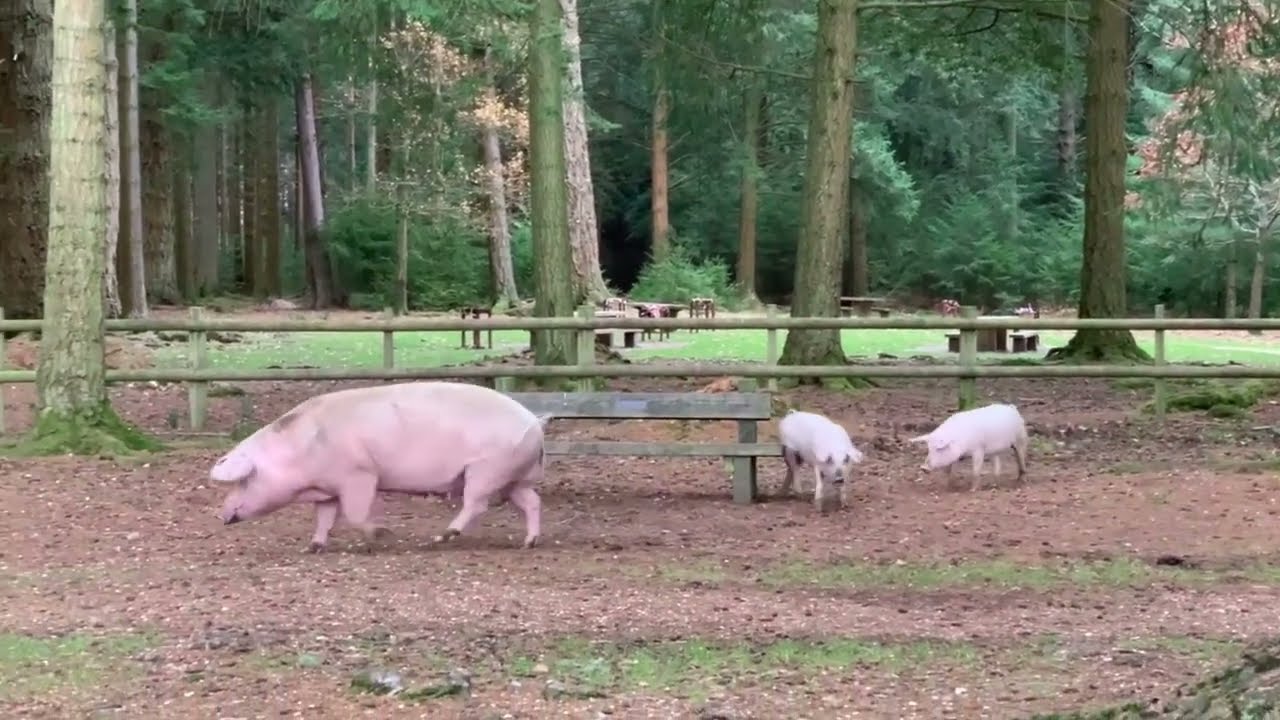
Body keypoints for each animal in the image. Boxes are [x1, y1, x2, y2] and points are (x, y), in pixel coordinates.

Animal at [209, 381, 551, 553]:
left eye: (244, 480)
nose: (222, 516)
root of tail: (535, 422)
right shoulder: (328, 489)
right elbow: (325, 518)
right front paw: (313, 547)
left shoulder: (359, 474)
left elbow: (355, 513)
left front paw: (384, 535)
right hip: (513, 476)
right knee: (532, 501)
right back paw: (528, 543)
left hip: (486, 470)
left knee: (476, 504)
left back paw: (440, 538)